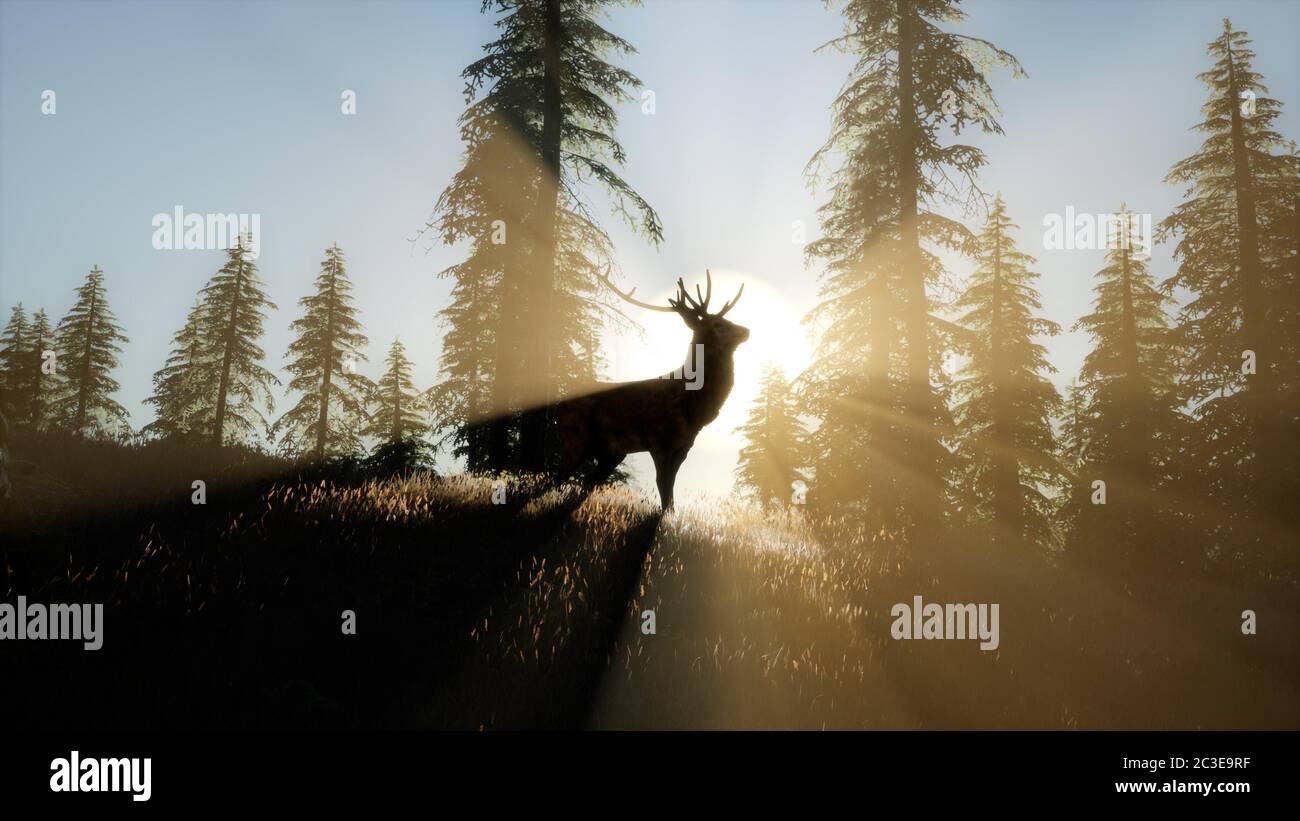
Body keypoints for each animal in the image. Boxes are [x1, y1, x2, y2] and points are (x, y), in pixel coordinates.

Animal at [551, 269, 749, 510]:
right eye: (718, 324)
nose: (746, 330)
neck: (694, 408)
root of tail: (557, 408)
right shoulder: (659, 440)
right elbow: (664, 488)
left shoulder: (684, 446)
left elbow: (670, 493)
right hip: (576, 438)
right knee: (555, 478)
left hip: (610, 452)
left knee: (584, 483)